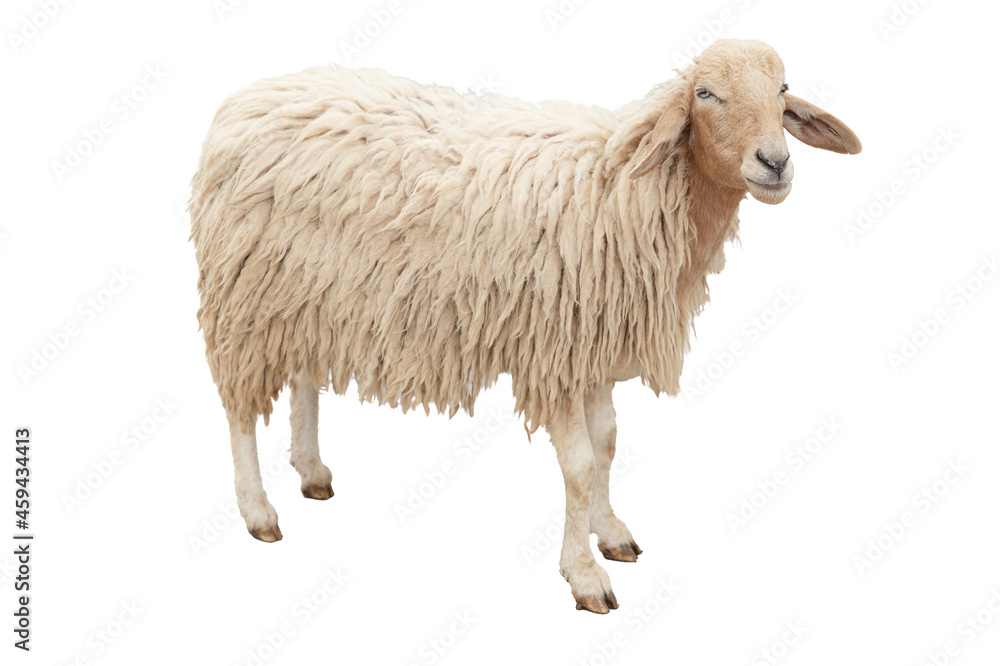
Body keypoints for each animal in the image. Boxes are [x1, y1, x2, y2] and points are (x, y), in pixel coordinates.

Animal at [189, 39, 860, 613]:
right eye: (705, 93)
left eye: (782, 90)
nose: (775, 163)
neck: (626, 189)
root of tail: (249, 95)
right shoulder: (554, 353)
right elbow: (581, 465)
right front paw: (584, 575)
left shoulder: (592, 348)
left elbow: (607, 443)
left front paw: (610, 532)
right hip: (244, 296)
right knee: (239, 408)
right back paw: (259, 510)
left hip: (306, 292)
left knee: (303, 374)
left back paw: (311, 471)